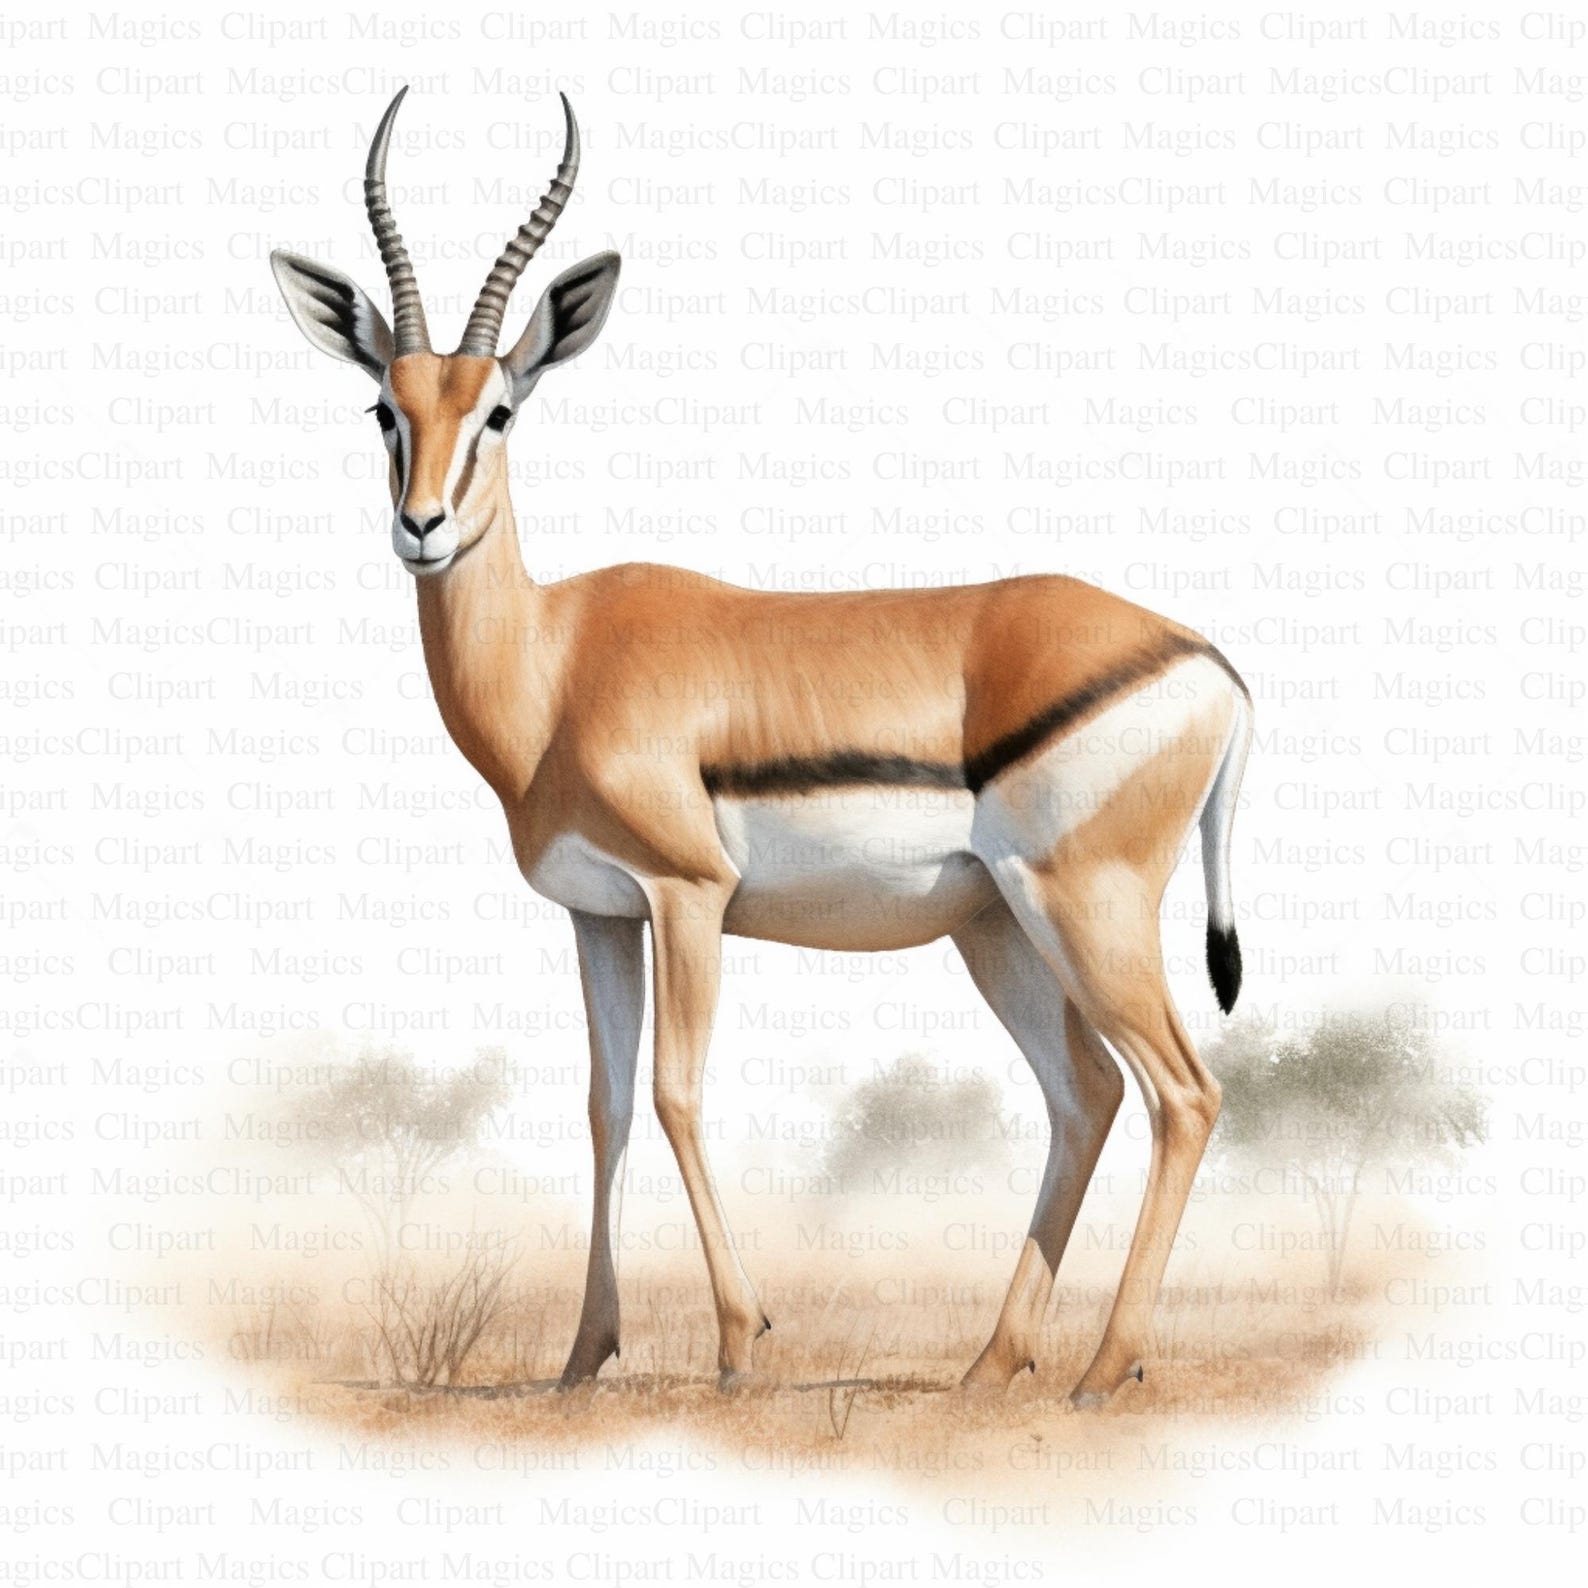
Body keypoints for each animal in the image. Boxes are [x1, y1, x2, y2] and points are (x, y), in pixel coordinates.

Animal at [270, 89, 1252, 1406]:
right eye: (387, 405)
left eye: (499, 410)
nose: (421, 527)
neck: (555, 659)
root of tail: (1208, 661)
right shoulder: (598, 914)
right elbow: (606, 1105)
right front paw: (583, 1356)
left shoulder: (687, 895)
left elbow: (677, 1094)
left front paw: (740, 1340)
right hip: (996, 927)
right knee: (1086, 1093)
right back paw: (991, 1364)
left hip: (1086, 911)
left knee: (1182, 1092)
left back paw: (1101, 1369)